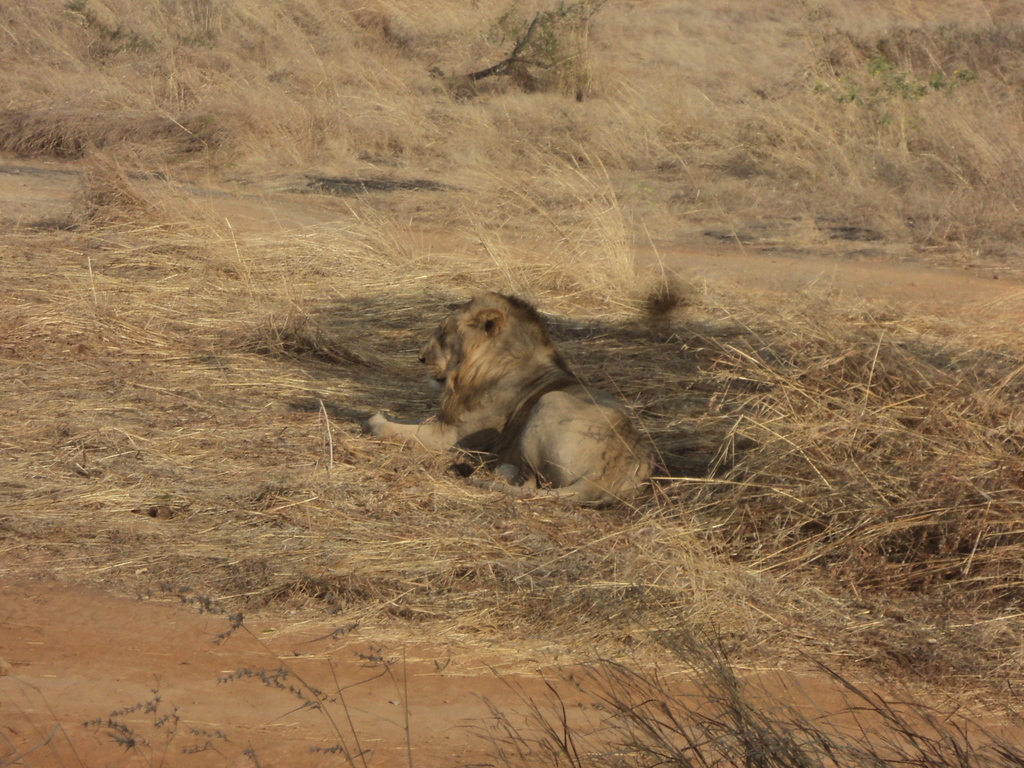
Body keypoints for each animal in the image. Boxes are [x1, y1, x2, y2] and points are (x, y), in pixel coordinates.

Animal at [367, 292, 652, 506]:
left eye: (444, 333)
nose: (421, 358)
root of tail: (608, 471)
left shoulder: (452, 436)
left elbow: (387, 428)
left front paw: (375, 418)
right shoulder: (446, 419)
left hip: (550, 401)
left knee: (530, 481)